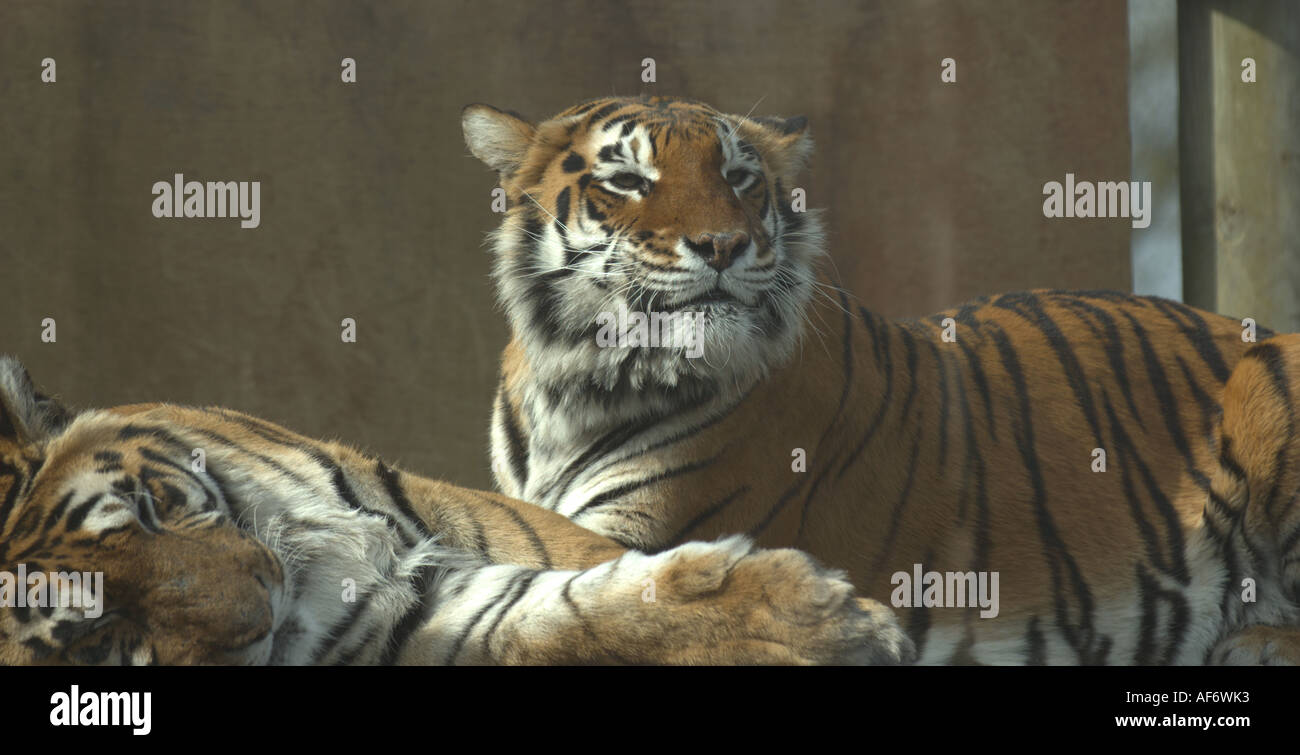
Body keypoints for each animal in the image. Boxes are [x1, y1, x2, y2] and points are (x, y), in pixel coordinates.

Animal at [0, 356, 914, 665]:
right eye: (98, 636)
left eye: (150, 507)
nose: (264, 596)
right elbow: (550, 622)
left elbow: (589, 587)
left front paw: (841, 622)